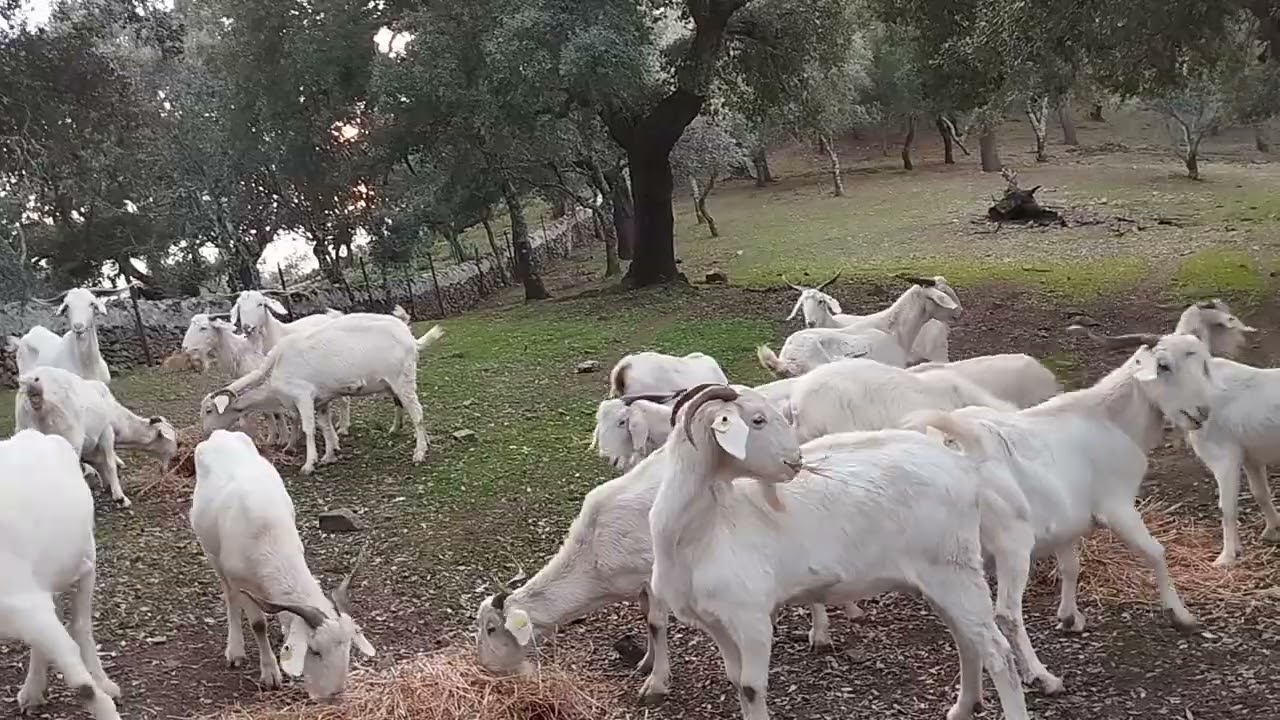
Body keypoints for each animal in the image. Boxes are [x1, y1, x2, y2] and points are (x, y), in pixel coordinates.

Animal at [0, 429, 122, 720]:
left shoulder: (23, 600)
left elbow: (83, 686)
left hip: (86, 559)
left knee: (81, 625)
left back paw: (104, 683)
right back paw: (32, 692)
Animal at [15, 366, 178, 508]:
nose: (165, 470)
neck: (120, 420)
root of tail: (34, 386)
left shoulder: (91, 446)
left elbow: (100, 462)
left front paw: (107, 486)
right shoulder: (106, 432)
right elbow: (110, 464)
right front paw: (120, 497)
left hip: (26, 431)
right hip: (70, 436)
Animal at [190, 430, 375, 698]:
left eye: (349, 647)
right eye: (314, 650)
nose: (334, 694)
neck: (267, 535)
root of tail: (220, 434)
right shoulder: (241, 578)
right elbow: (258, 624)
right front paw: (270, 675)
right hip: (211, 552)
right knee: (229, 595)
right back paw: (234, 651)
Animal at [200, 315, 445, 475]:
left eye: (209, 410)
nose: (206, 432)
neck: (276, 366)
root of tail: (411, 339)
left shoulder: (303, 397)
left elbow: (309, 429)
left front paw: (309, 464)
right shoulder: (321, 401)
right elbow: (325, 427)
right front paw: (328, 456)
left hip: (402, 380)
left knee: (417, 413)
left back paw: (419, 452)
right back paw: (423, 442)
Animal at [648, 385, 1030, 720]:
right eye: (758, 420)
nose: (795, 461)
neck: (703, 531)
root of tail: (963, 466)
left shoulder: (751, 618)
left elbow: (752, 688)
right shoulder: (716, 623)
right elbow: (735, 682)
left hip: (955, 571)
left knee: (998, 653)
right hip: (939, 581)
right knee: (968, 642)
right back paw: (964, 707)